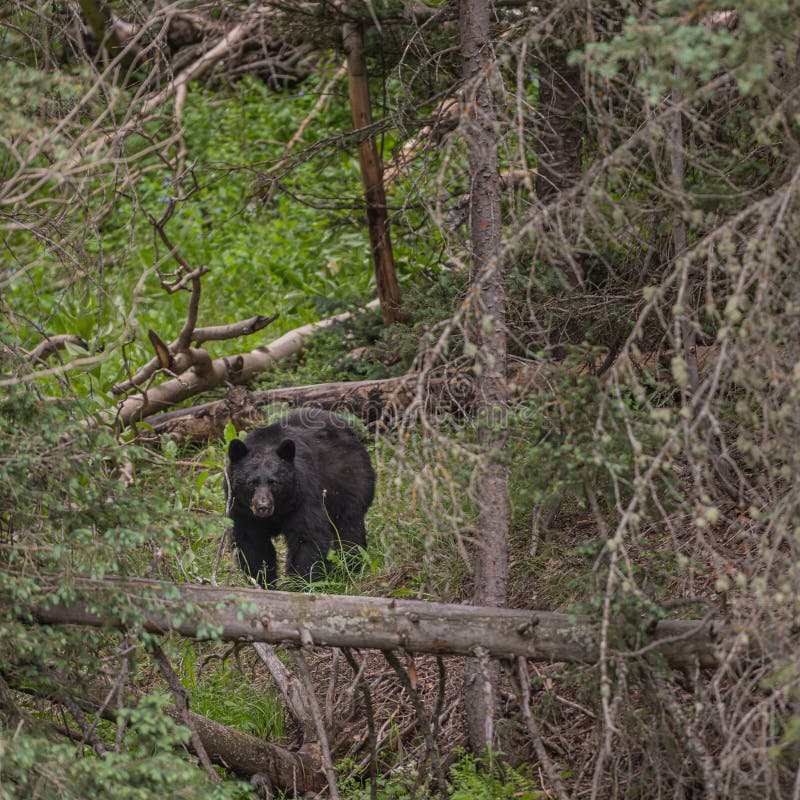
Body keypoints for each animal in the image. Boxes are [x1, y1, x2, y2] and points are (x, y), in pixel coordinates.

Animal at [225, 408, 375, 588]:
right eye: (251, 483)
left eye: (274, 482)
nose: (263, 507)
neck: (279, 510)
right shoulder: (242, 511)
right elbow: (252, 543)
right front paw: (263, 581)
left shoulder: (302, 497)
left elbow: (307, 538)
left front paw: (302, 583)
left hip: (348, 482)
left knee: (349, 528)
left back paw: (349, 568)